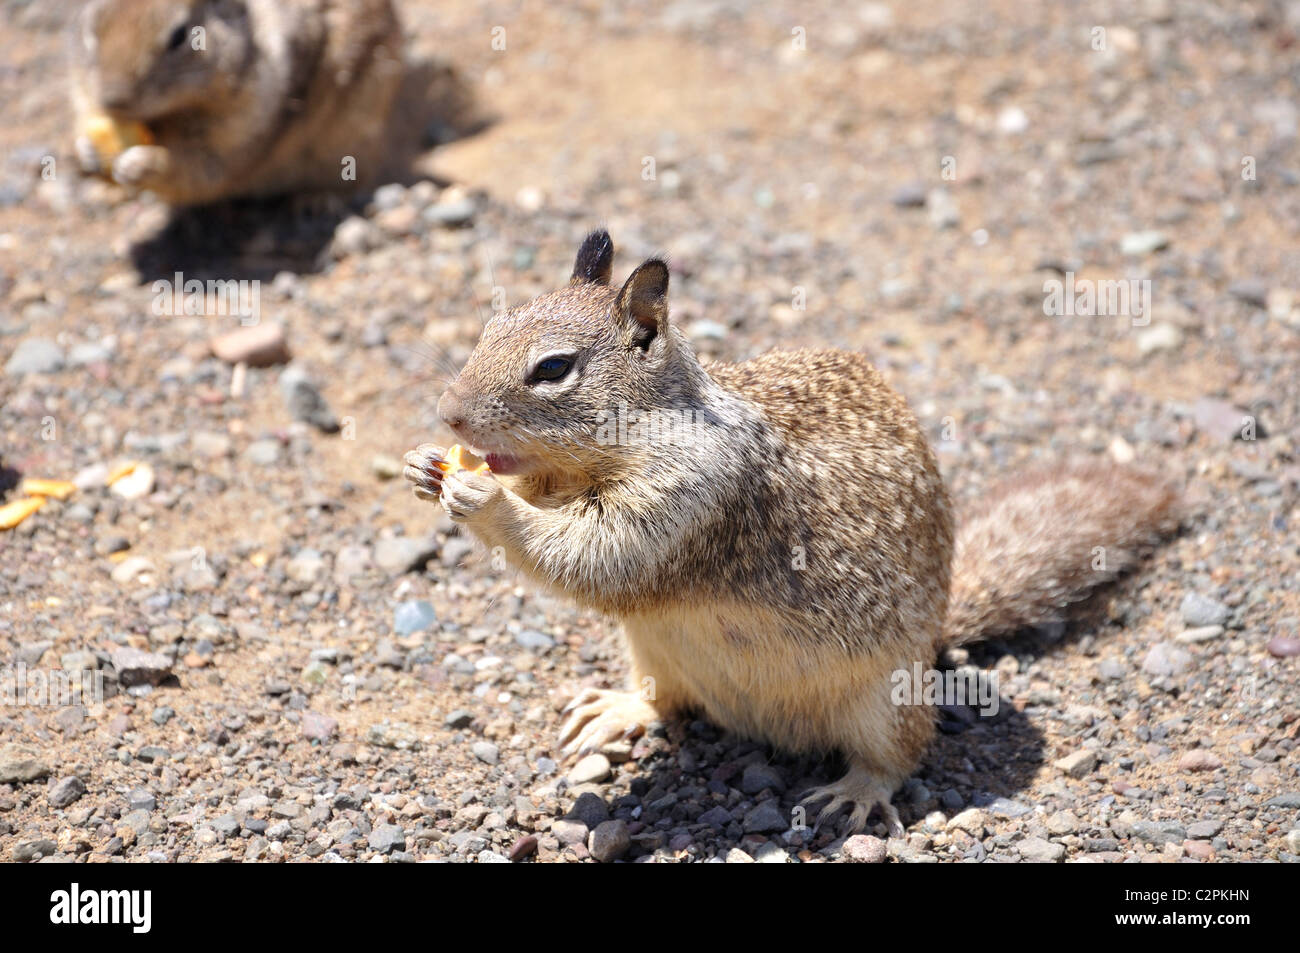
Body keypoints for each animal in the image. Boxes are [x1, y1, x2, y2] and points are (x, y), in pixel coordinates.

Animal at [69, 0, 404, 205]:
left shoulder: (241, 128)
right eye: (93, 27)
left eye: (179, 35)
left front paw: (139, 164)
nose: (112, 100)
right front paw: (86, 151)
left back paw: (316, 202)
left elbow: (196, 170)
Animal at [403, 230, 1180, 836]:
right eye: (487, 332)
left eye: (554, 368)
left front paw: (485, 498)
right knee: (664, 699)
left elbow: (596, 557)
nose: (448, 412)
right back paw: (618, 708)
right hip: (651, 648)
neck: (631, 437)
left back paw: (856, 792)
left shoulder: (693, 497)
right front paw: (427, 467)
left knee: (903, 753)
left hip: (884, 699)